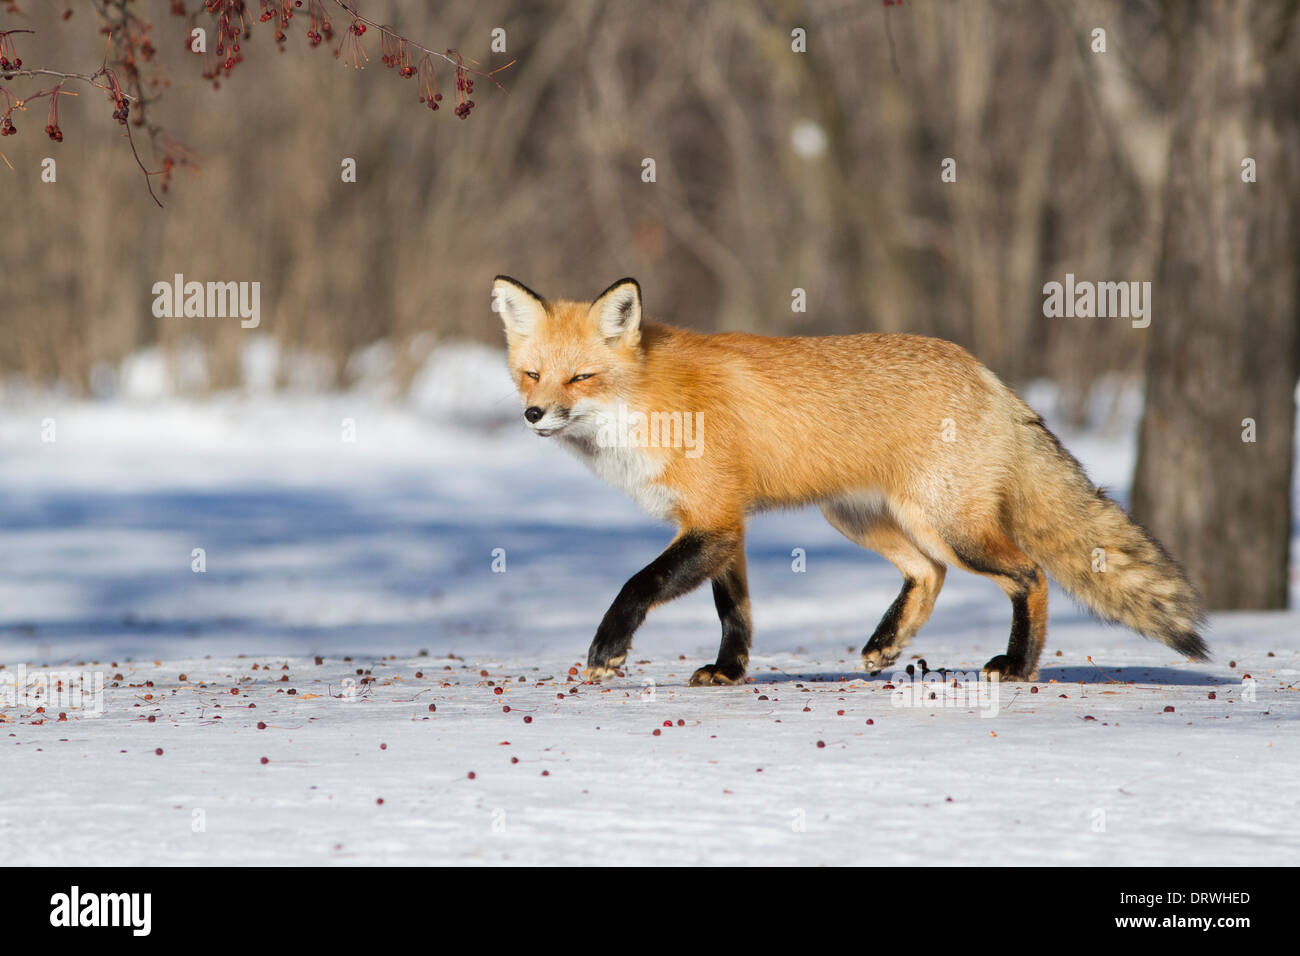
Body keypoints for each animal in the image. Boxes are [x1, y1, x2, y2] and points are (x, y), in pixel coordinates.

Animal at [492, 275, 1209, 686]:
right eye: (532, 374)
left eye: (581, 377)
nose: (533, 414)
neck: (649, 404)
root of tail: (987, 374)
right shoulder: (724, 526)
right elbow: (734, 611)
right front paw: (729, 672)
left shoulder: (712, 519)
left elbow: (638, 584)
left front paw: (609, 648)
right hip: (863, 519)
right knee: (928, 574)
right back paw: (885, 644)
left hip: (949, 527)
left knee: (1028, 574)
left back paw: (1018, 666)